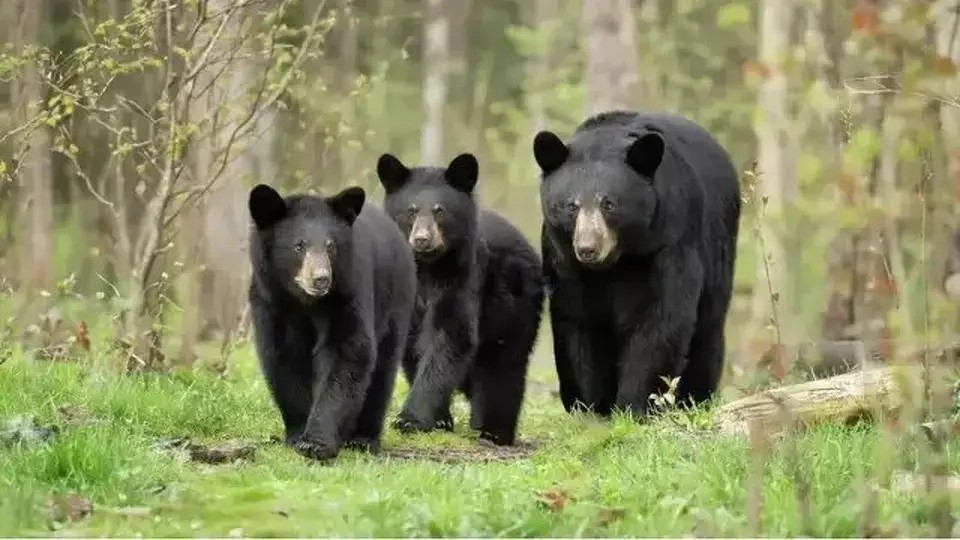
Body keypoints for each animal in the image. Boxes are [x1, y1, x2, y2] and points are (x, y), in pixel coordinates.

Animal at [247, 183, 416, 461]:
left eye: (330, 246)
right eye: (299, 246)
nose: (321, 279)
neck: (306, 302)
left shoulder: (347, 295)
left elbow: (347, 353)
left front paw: (316, 442)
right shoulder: (271, 301)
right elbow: (283, 358)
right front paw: (297, 435)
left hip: (395, 300)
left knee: (382, 370)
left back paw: (363, 438)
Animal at [375, 151, 544, 446]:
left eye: (439, 210)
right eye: (411, 210)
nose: (422, 239)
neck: (428, 268)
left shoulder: (464, 276)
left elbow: (451, 336)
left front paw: (410, 419)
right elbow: (412, 345)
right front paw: (440, 420)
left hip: (516, 303)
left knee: (504, 366)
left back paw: (494, 430)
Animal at [532, 110, 741, 418]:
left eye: (609, 204)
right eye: (571, 206)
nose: (588, 248)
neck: (617, 260)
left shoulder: (667, 242)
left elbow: (660, 318)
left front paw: (635, 406)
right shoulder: (565, 260)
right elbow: (577, 320)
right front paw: (588, 406)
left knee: (708, 331)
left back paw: (695, 397)